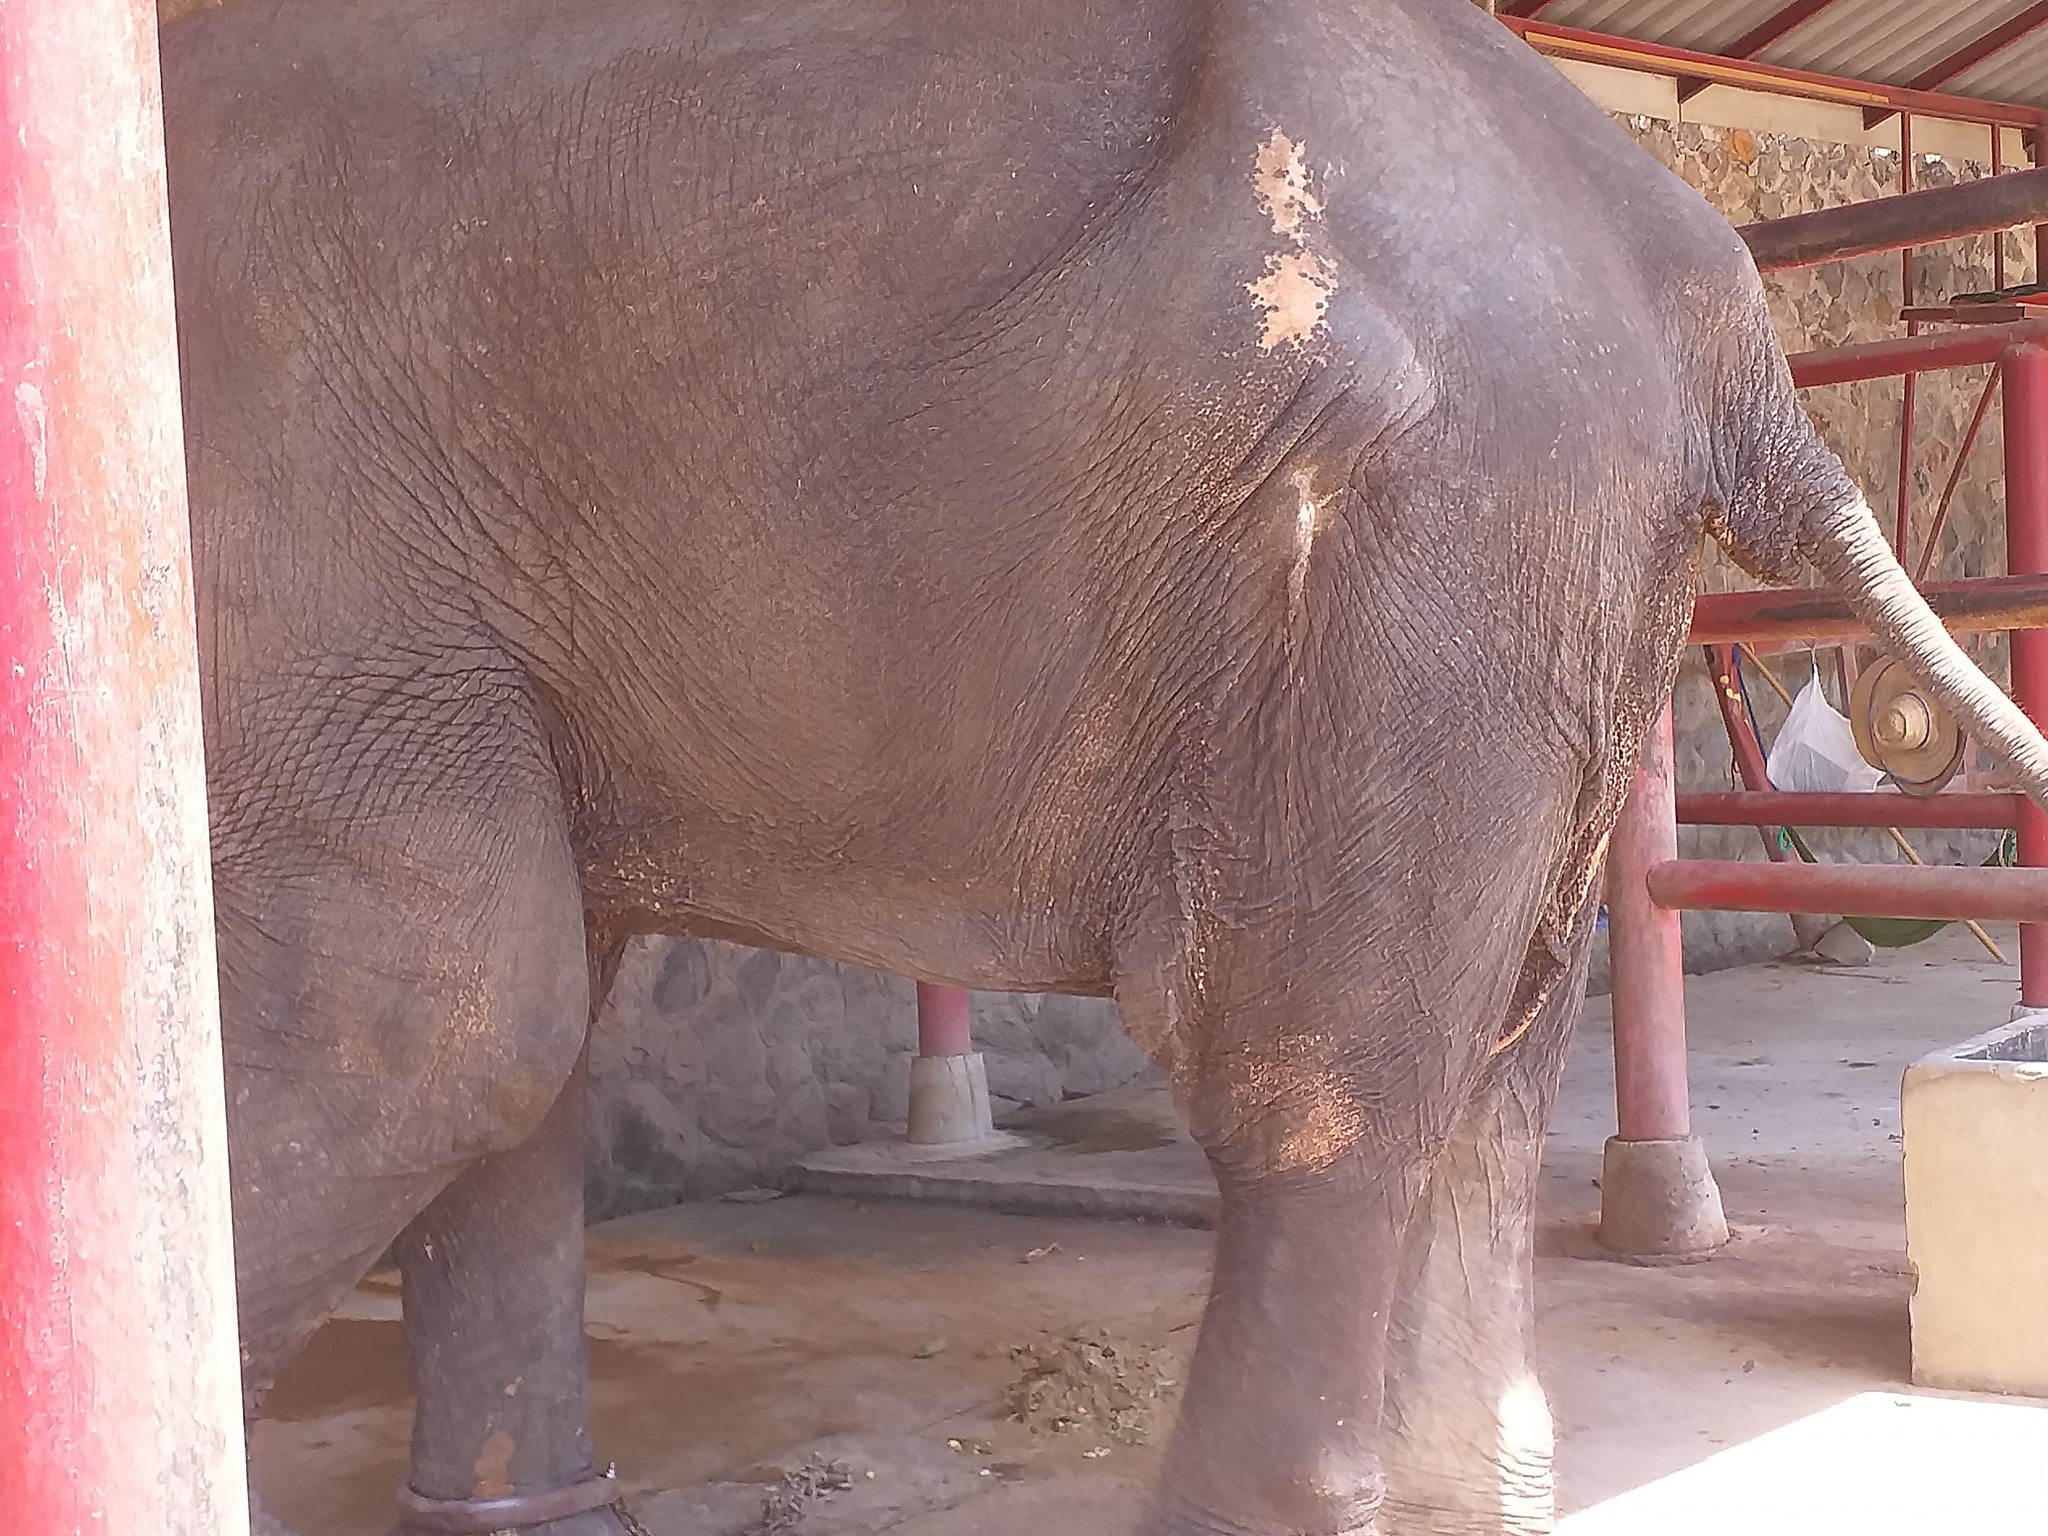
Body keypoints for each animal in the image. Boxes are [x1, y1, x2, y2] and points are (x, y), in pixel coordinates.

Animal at [159, 0, 2048, 1532]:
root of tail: (1722, 311)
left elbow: (437, 1013)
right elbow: (516, 1029)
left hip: (1409, 569)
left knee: (1307, 1080)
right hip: (1544, 592)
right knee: (1483, 1069)